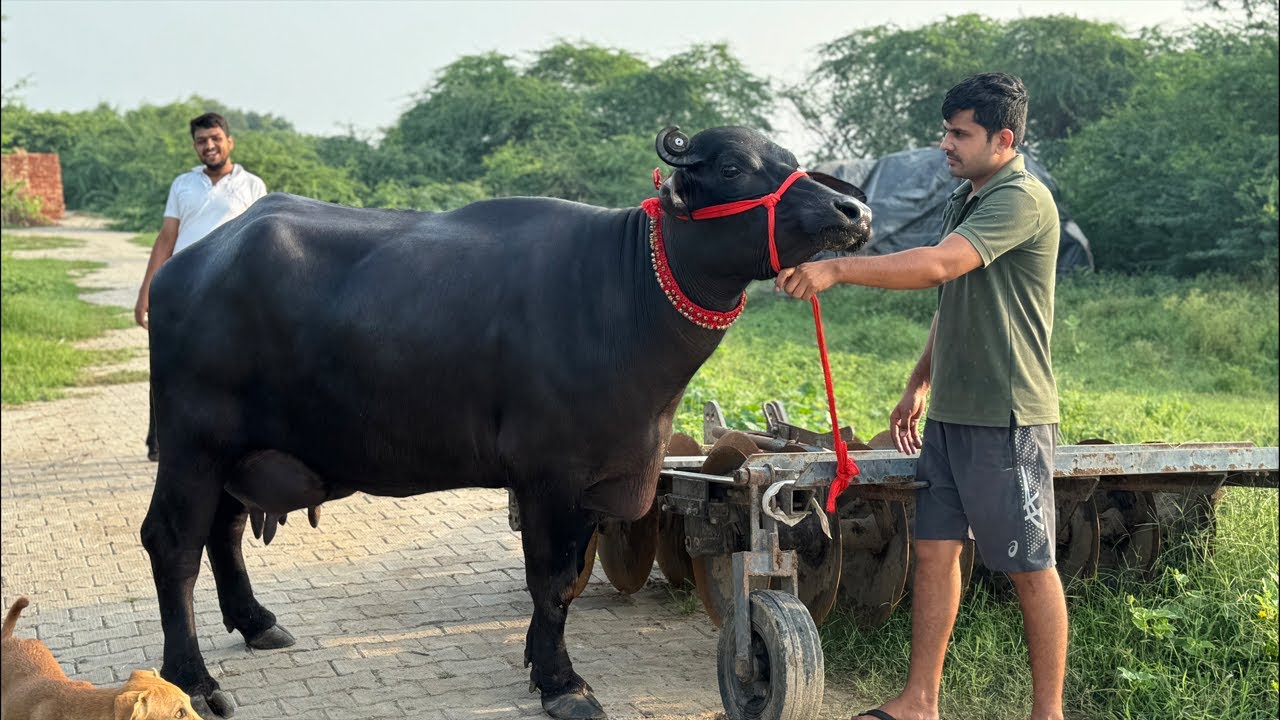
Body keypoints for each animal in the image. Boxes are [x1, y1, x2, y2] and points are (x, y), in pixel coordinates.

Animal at [139, 125, 871, 719]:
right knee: (172, 544)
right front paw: (562, 683)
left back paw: (256, 622)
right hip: (192, 445)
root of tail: (188, 266)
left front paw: (541, 664)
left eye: (791, 162)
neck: (623, 293)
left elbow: (566, 582)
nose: (853, 211)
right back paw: (194, 681)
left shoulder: (600, 479)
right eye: (732, 167)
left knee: (223, 532)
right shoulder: (549, 476)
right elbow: (547, 581)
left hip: (237, 454)